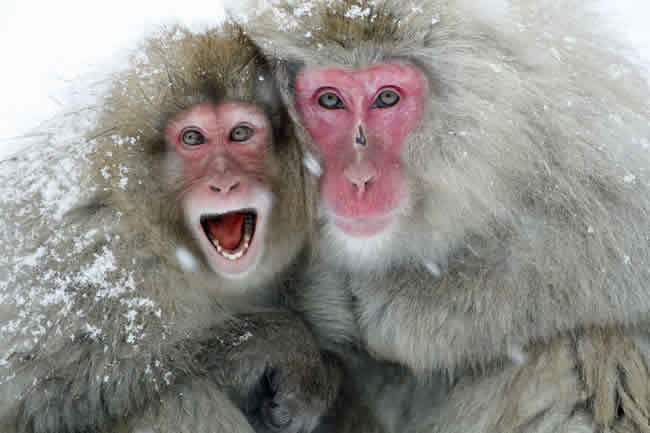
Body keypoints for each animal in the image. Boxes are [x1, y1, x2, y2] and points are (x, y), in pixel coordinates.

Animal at [0, 24, 342, 433]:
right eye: (193, 138)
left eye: (241, 133)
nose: (224, 182)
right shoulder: (93, 267)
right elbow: (46, 397)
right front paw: (278, 342)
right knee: (181, 395)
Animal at [245, 1, 650, 432]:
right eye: (330, 101)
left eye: (387, 98)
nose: (358, 179)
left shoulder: (572, 119)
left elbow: (623, 238)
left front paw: (404, 307)